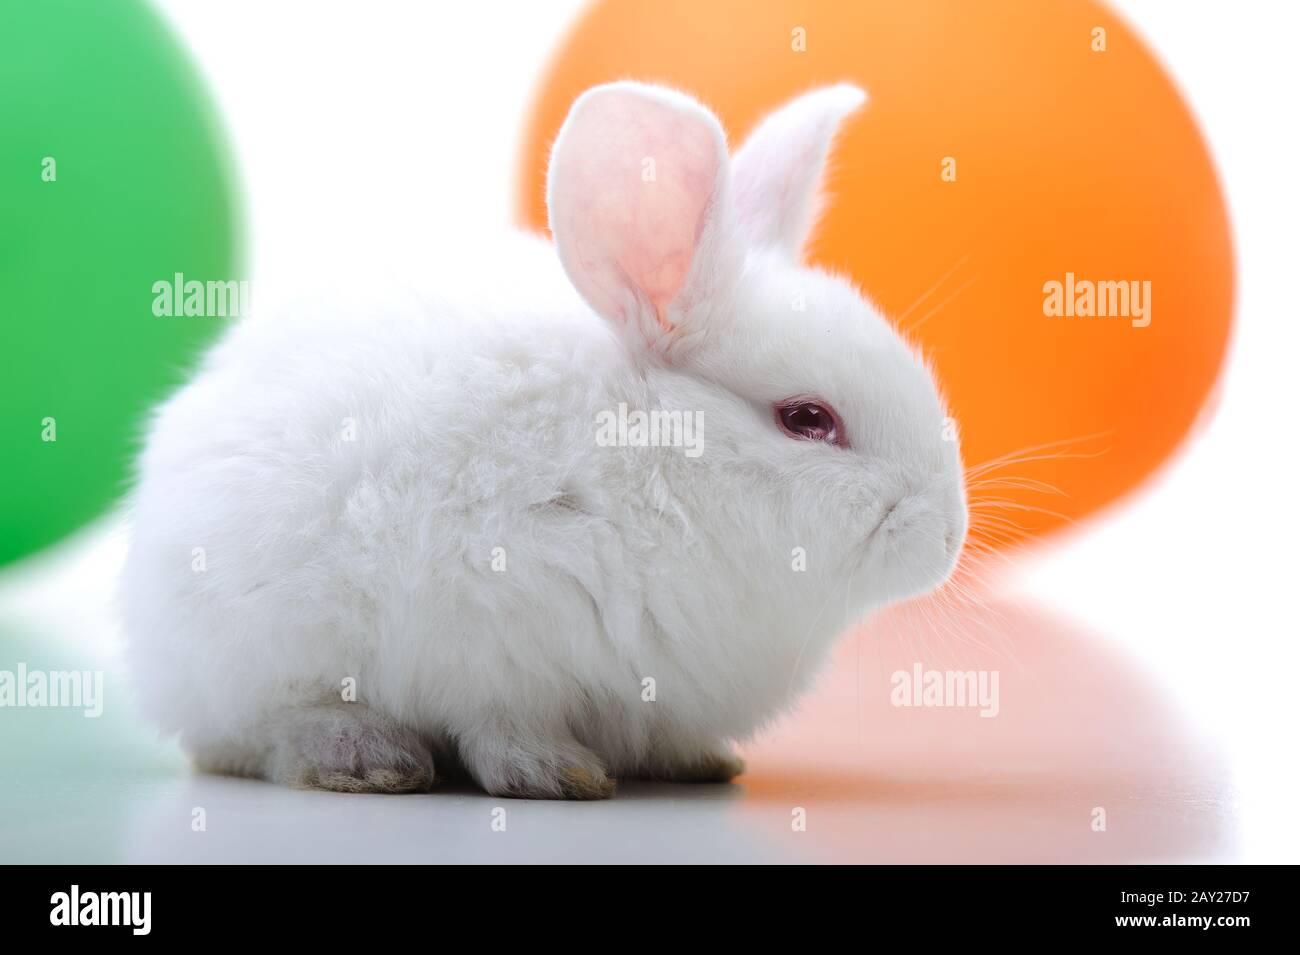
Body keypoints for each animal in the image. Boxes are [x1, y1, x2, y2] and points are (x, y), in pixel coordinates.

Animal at [120, 81, 967, 799]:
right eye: (807, 419)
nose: (951, 535)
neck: (653, 463)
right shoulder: (484, 627)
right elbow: (498, 723)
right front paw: (554, 772)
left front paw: (699, 760)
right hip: (249, 647)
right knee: (261, 732)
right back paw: (364, 755)